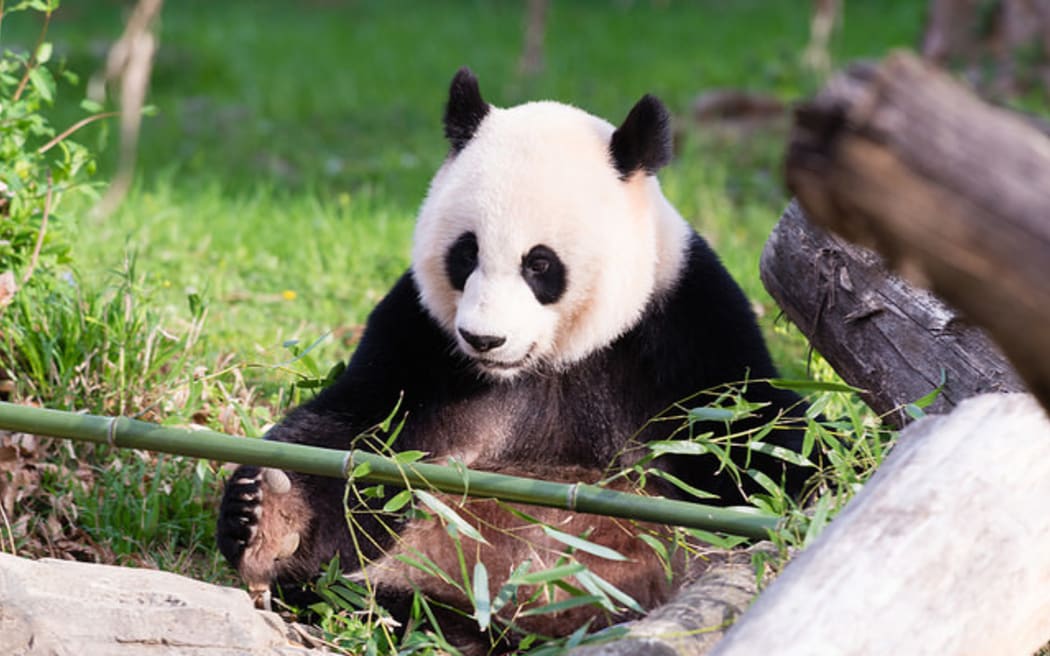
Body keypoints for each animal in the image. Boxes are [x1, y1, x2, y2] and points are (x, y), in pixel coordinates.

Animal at [217, 68, 811, 651]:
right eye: (465, 253)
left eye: (540, 264)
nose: (483, 339)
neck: (548, 361)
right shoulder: (419, 338)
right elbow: (356, 434)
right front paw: (267, 519)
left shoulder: (682, 327)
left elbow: (759, 439)